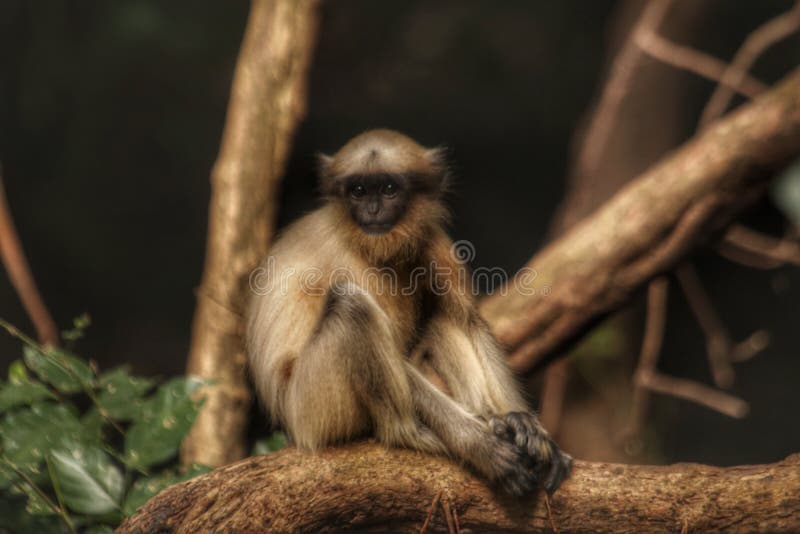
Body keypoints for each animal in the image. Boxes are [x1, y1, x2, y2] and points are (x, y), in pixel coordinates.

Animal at [246, 129, 572, 495]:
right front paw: (481, 447)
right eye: (358, 191)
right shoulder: (345, 259)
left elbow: (470, 322)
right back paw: (407, 434)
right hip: (313, 411)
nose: (372, 209)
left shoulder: (431, 238)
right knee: (351, 304)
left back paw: (493, 417)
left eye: (389, 189)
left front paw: (528, 428)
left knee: (443, 318)